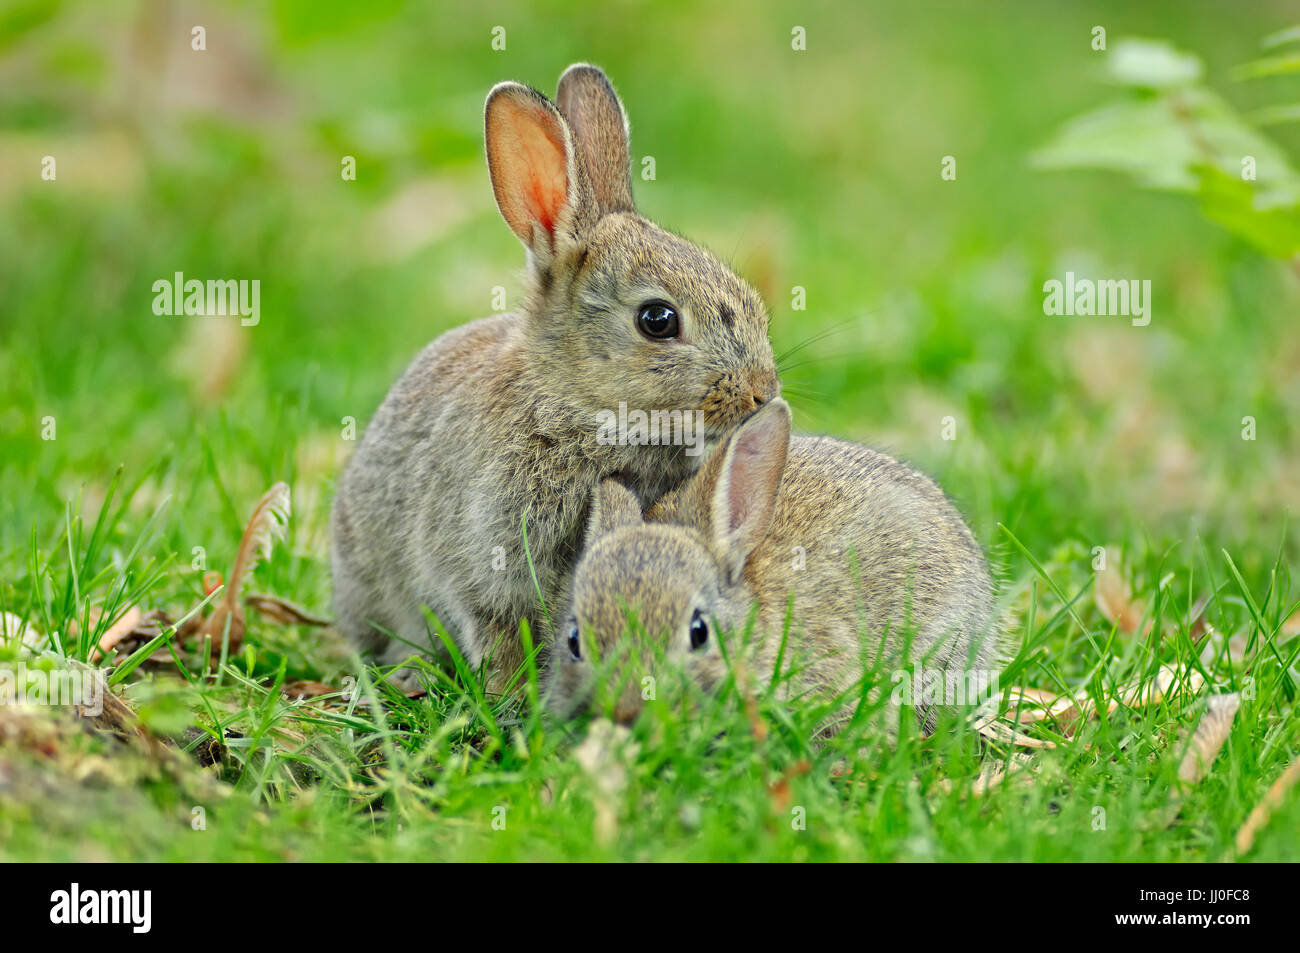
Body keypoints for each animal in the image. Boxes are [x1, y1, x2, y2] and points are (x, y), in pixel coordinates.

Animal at [331, 64, 780, 691]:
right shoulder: (489, 565)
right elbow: (500, 631)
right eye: (658, 320)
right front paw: (515, 697)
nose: (764, 390)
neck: (577, 404)